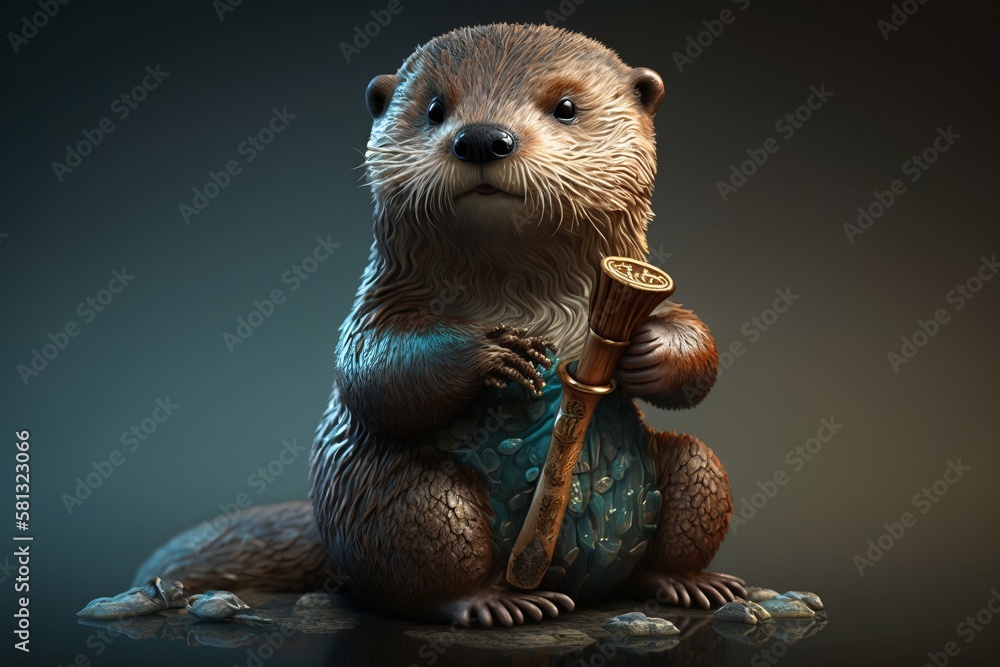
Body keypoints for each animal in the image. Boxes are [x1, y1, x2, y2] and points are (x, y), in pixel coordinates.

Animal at [134, 23, 745, 627]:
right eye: (434, 108)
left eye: (567, 107)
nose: (482, 138)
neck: (525, 299)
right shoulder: (377, 304)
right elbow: (370, 370)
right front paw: (493, 355)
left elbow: (695, 347)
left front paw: (648, 347)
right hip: (405, 500)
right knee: (426, 564)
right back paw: (499, 601)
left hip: (697, 476)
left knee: (690, 475)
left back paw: (692, 585)